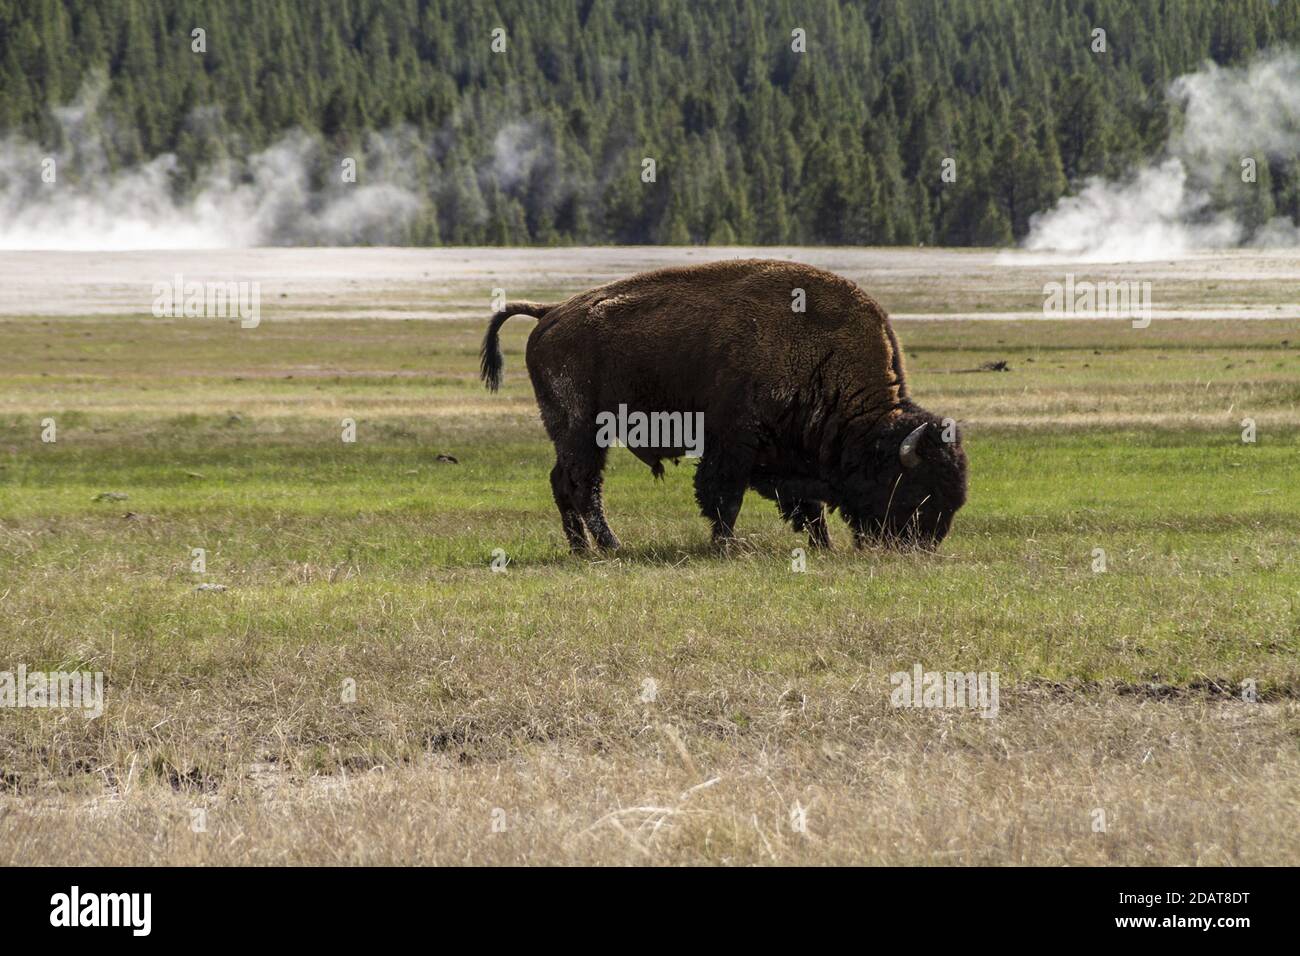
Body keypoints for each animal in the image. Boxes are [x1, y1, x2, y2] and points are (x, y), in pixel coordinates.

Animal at [481, 259, 967, 552]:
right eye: (915, 487)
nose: (922, 545)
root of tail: (552, 311)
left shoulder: (792, 455)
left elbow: (807, 507)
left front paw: (823, 547)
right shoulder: (733, 444)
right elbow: (724, 497)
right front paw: (725, 546)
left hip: (571, 435)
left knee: (563, 482)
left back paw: (582, 548)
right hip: (581, 429)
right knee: (583, 485)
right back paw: (611, 546)